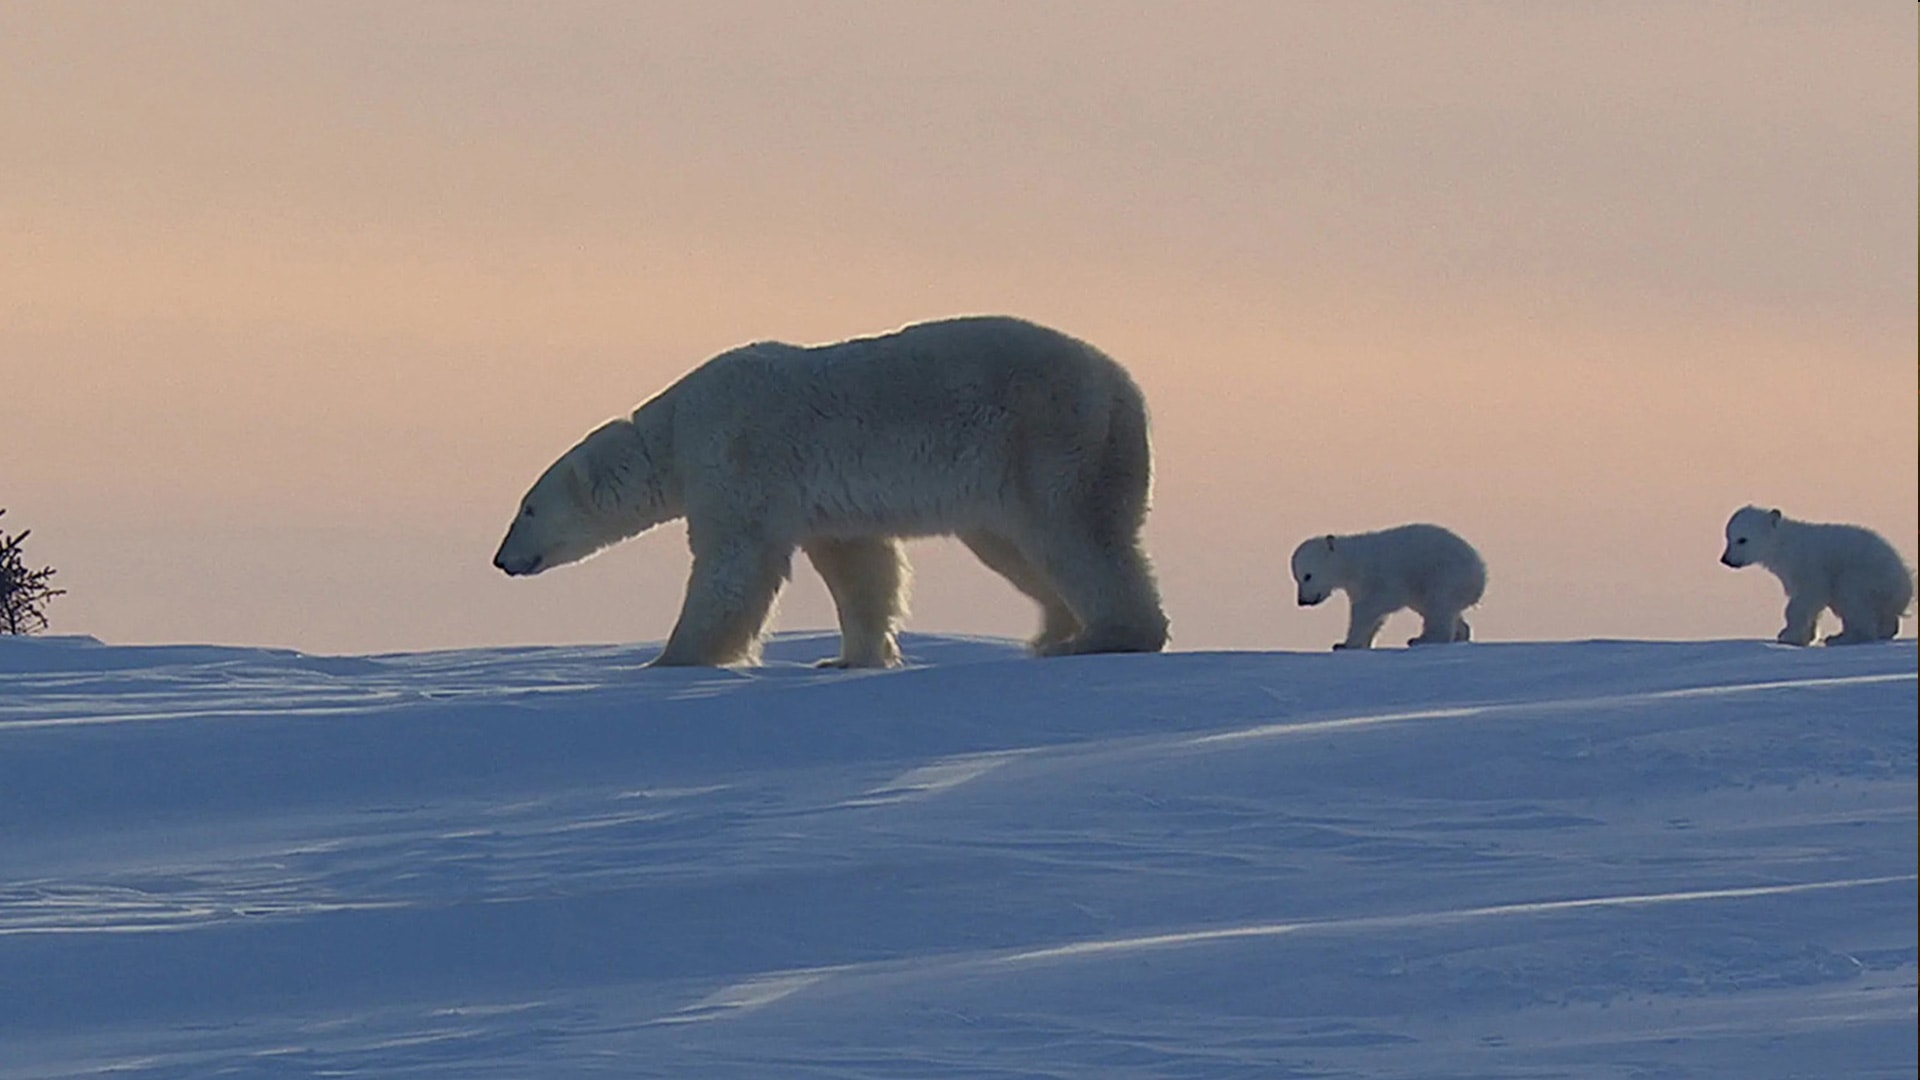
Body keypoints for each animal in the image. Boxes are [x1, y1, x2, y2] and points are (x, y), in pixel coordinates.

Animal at [492, 315, 1170, 668]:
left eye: (527, 507)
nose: (502, 560)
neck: (675, 431)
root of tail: (1126, 390)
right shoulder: (826, 506)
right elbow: (861, 567)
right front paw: (851, 658)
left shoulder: (737, 457)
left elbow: (732, 567)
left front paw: (672, 659)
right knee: (1018, 550)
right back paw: (1052, 633)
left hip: (1051, 440)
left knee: (1076, 538)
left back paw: (1103, 636)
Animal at [1290, 524, 1487, 651]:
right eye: (1296, 578)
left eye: (1308, 575)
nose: (1302, 601)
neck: (1354, 563)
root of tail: (1481, 572)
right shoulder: (1358, 586)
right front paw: (1360, 643)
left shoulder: (1384, 577)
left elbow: (1372, 605)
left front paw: (1344, 644)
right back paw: (1459, 634)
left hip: (1445, 574)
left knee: (1439, 606)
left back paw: (1421, 639)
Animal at [1719, 506, 1913, 646]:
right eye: (1728, 538)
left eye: (1742, 539)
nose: (1726, 559)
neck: (1784, 545)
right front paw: (1805, 636)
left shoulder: (1809, 566)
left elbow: (1807, 597)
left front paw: (1789, 635)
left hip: (1867, 575)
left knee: (1851, 595)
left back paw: (1842, 637)